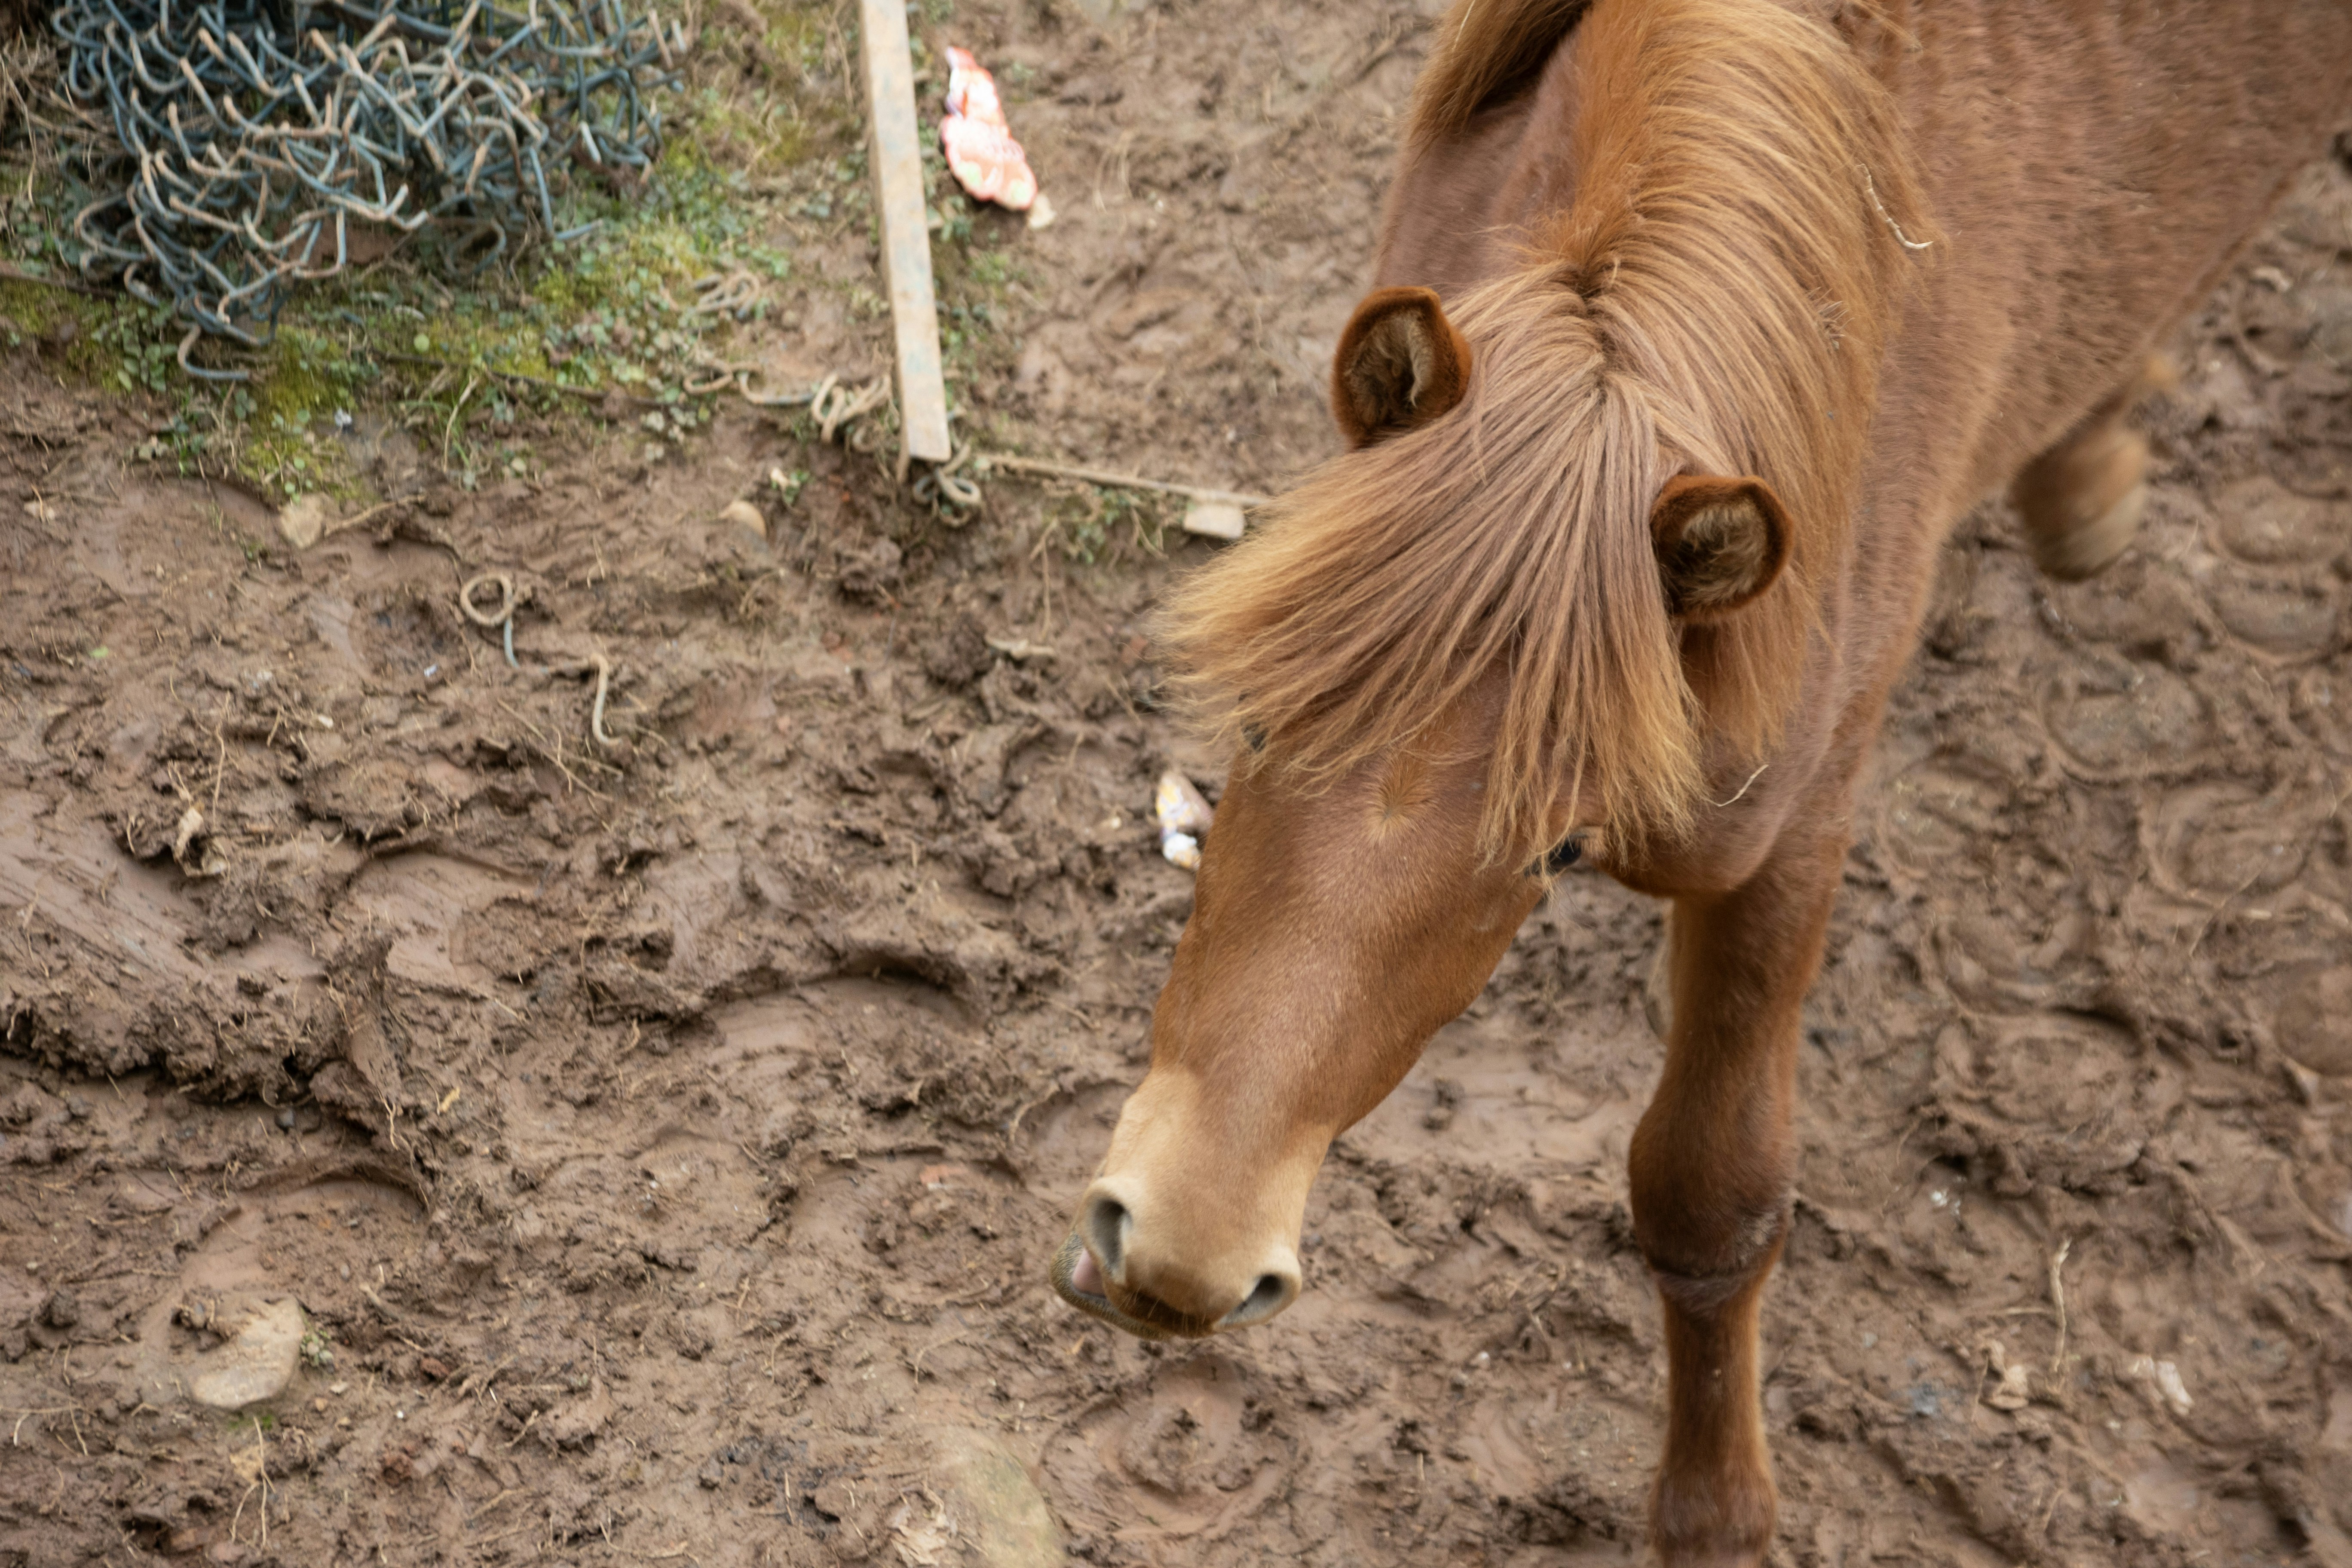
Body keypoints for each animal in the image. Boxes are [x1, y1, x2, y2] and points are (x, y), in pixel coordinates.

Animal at [1047, 1, 2352, 1560]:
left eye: (1556, 849)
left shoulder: (1791, 838)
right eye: (1253, 722)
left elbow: (1710, 1200)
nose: (1182, 1259)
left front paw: (1718, 1515)